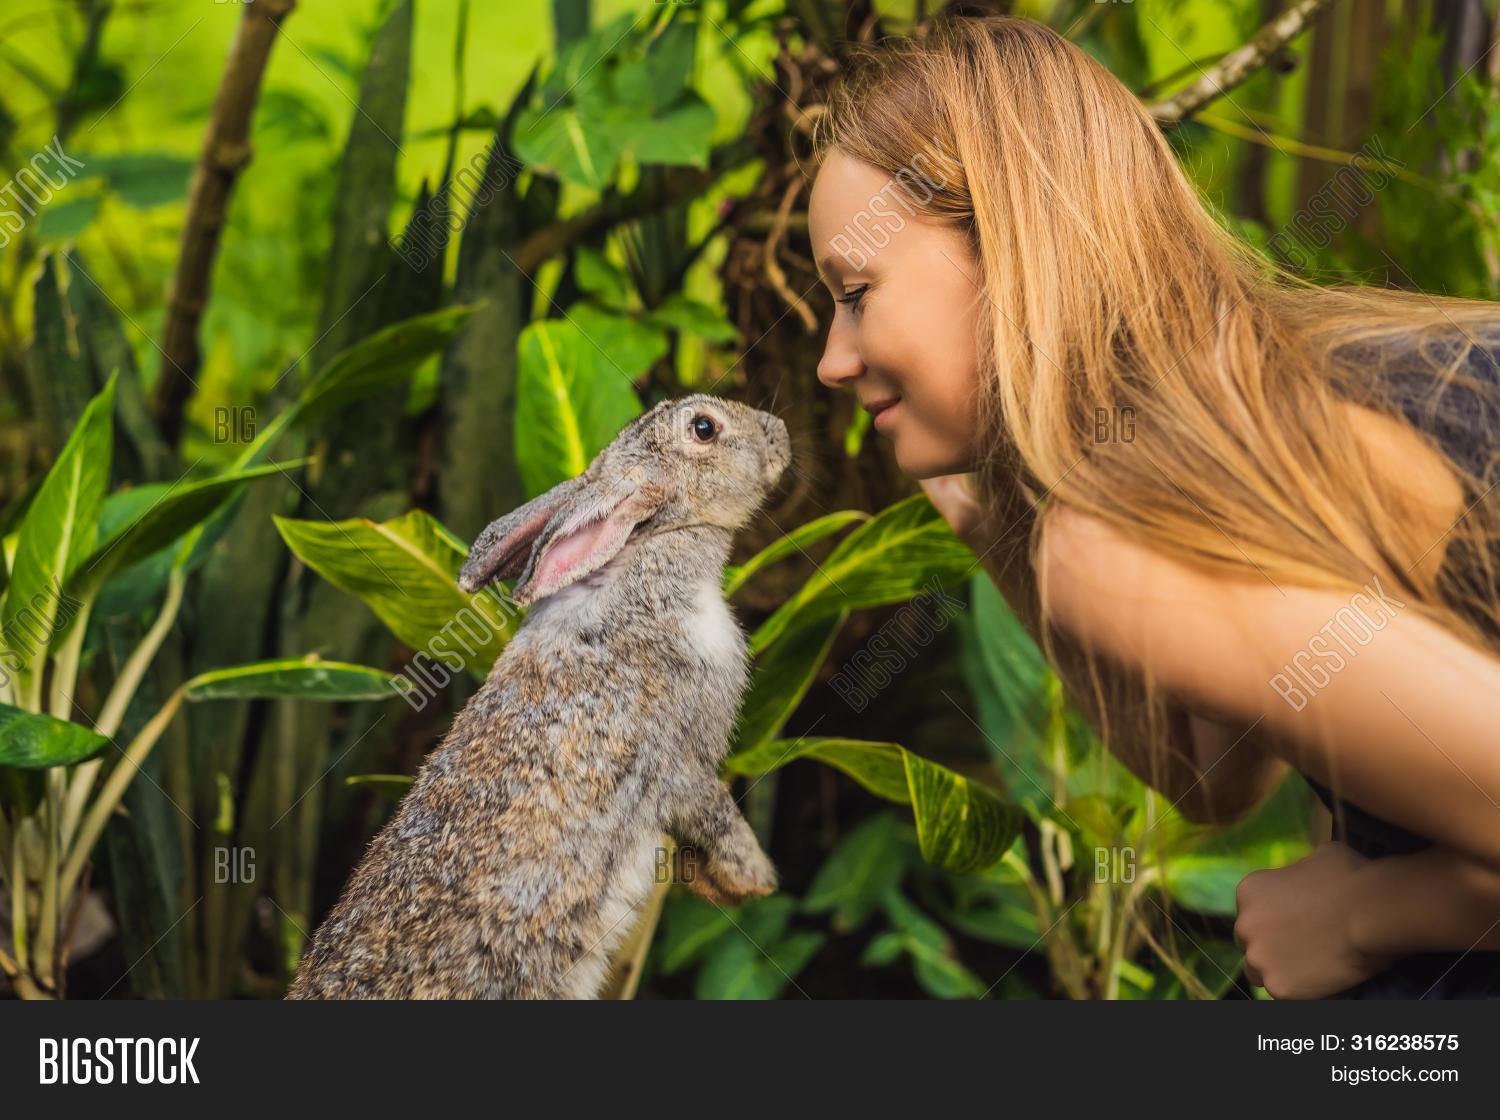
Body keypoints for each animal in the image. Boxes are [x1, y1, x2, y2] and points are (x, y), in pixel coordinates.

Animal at [287, 394, 790, 999]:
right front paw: (754, 882)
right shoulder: (682, 763)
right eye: (704, 428)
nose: (779, 431)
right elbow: (714, 815)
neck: (647, 547)